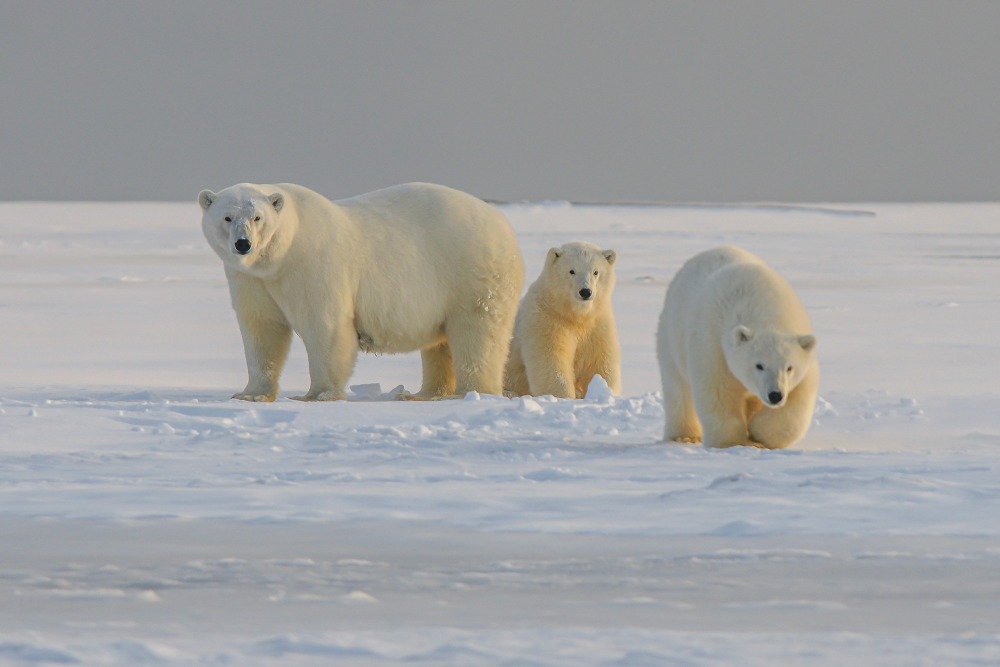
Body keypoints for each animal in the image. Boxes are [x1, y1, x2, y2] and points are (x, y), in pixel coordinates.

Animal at [198, 182, 524, 402]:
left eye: (258, 218)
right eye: (227, 217)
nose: (243, 244)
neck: (280, 256)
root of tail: (502, 223)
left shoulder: (314, 264)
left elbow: (325, 327)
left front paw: (317, 395)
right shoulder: (251, 279)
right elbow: (262, 329)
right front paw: (250, 394)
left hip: (471, 272)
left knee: (477, 333)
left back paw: (471, 392)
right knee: (440, 343)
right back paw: (424, 393)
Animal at [504, 241, 620, 398]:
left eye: (596, 272)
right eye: (572, 271)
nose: (585, 292)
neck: (573, 314)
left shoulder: (597, 324)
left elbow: (599, 362)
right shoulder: (547, 320)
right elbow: (551, 361)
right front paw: (564, 396)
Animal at [655, 245, 818, 449]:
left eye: (789, 367)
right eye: (759, 365)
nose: (775, 395)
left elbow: (799, 398)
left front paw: (759, 434)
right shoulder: (713, 344)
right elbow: (718, 391)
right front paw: (734, 442)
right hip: (671, 337)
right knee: (677, 388)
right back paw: (684, 436)